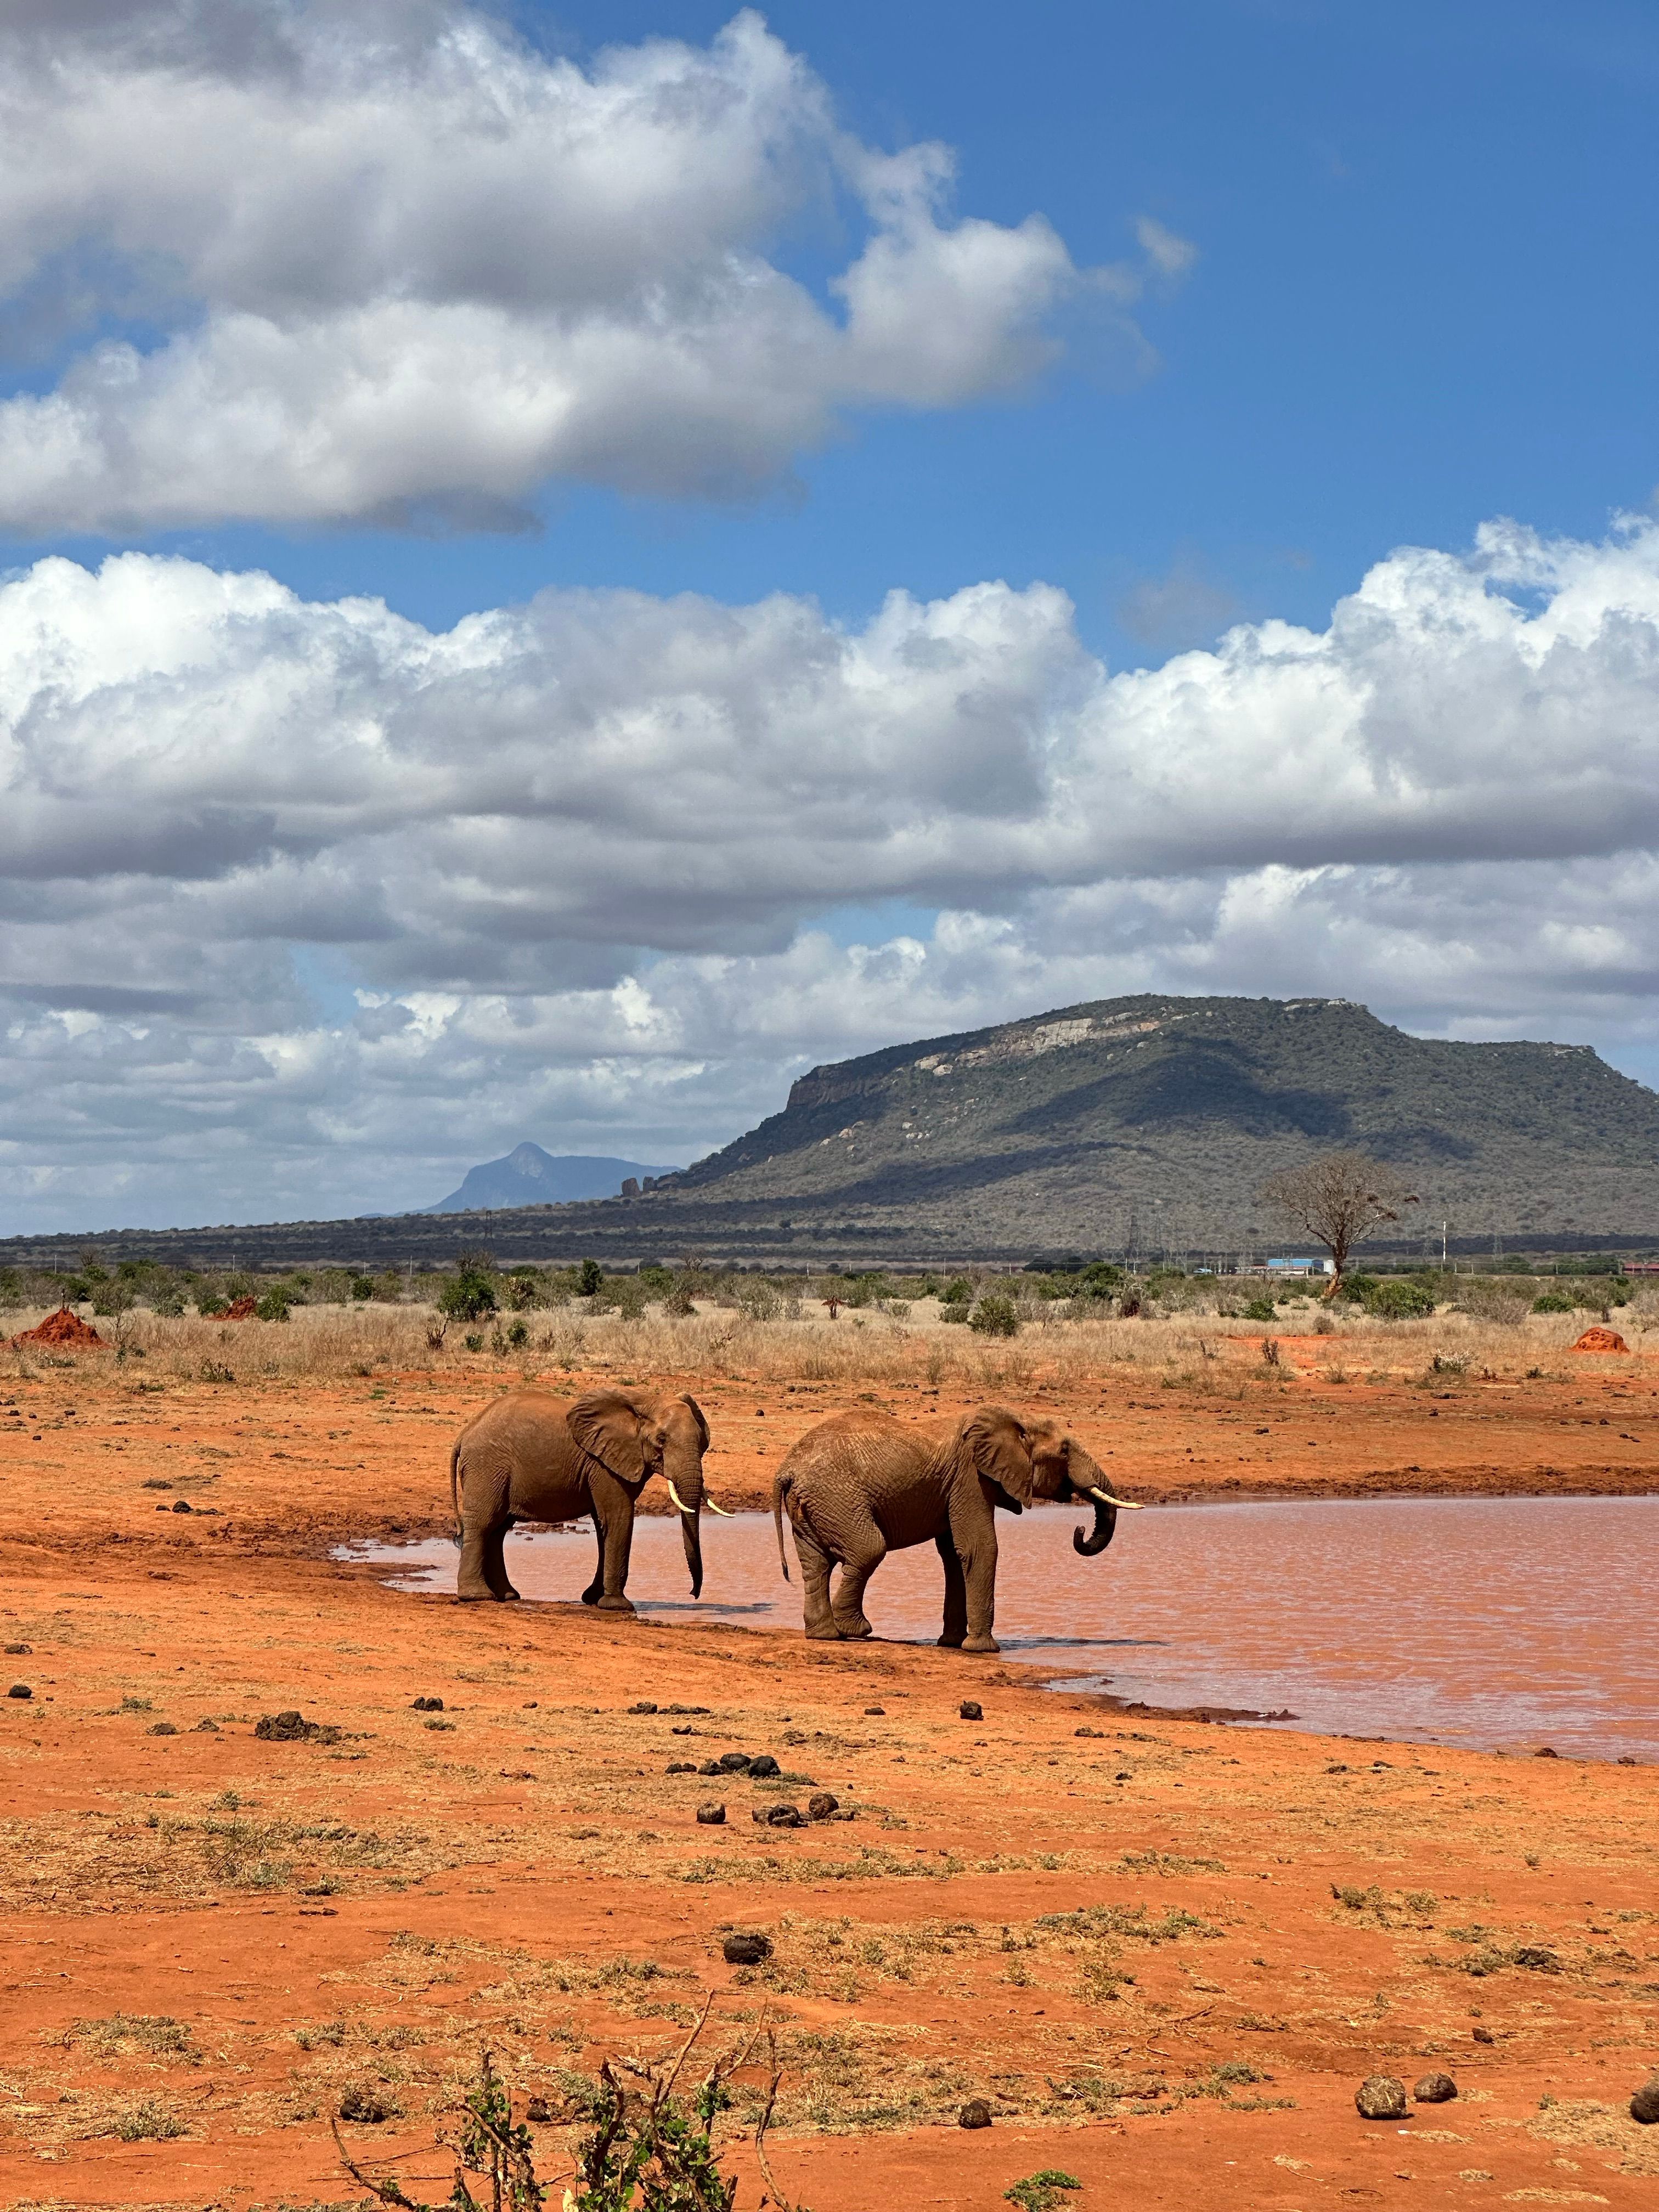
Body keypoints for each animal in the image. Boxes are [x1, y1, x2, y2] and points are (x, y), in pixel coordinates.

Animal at [449, 1386, 728, 1609]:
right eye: (661, 1440)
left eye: (702, 1442)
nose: (693, 1594)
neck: (643, 1401)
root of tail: (466, 1432)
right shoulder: (603, 1464)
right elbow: (618, 1518)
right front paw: (618, 1606)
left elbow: (602, 1522)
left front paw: (593, 1599)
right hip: (487, 1467)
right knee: (484, 1523)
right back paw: (477, 1597)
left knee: (498, 1529)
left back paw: (507, 1596)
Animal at [771, 1403, 1140, 1653]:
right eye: (1064, 1451)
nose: (1079, 1529)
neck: (1013, 1419)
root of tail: (787, 1470)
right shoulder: (970, 1477)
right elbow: (980, 1547)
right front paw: (984, 1649)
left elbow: (954, 1555)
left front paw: (951, 1643)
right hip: (837, 1497)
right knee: (867, 1550)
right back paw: (857, 1631)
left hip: (814, 1503)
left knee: (816, 1565)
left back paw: (825, 1635)